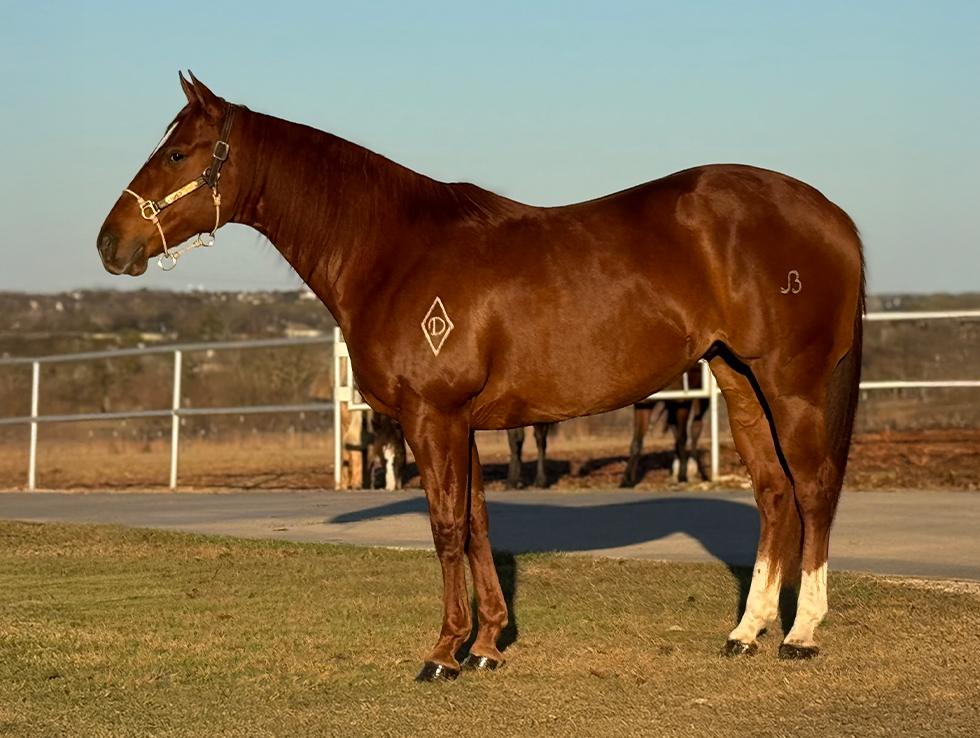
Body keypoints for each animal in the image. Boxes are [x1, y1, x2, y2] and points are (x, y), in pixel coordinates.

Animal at [97, 73, 865, 681]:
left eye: (177, 153)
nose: (110, 244)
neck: (395, 250)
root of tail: (832, 215)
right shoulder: (460, 422)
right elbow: (477, 525)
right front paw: (489, 644)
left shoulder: (431, 417)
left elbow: (445, 527)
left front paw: (444, 652)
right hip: (738, 380)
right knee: (772, 494)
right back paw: (746, 631)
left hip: (788, 384)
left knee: (814, 488)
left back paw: (800, 632)